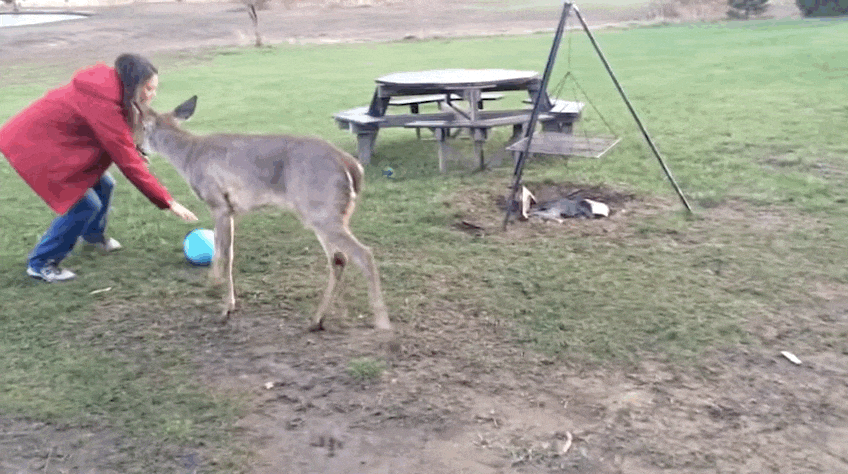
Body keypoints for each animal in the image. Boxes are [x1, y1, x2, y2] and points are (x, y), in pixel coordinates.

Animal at [138, 96, 391, 331]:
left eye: (143, 128)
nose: (140, 149)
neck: (190, 156)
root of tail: (352, 166)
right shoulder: (231, 209)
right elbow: (224, 251)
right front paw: (215, 286)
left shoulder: (218, 202)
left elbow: (225, 253)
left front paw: (226, 307)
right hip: (326, 214)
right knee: (339, 259)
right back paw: (317, 320)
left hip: (323, 211)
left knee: (363, 254)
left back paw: (382, 324)